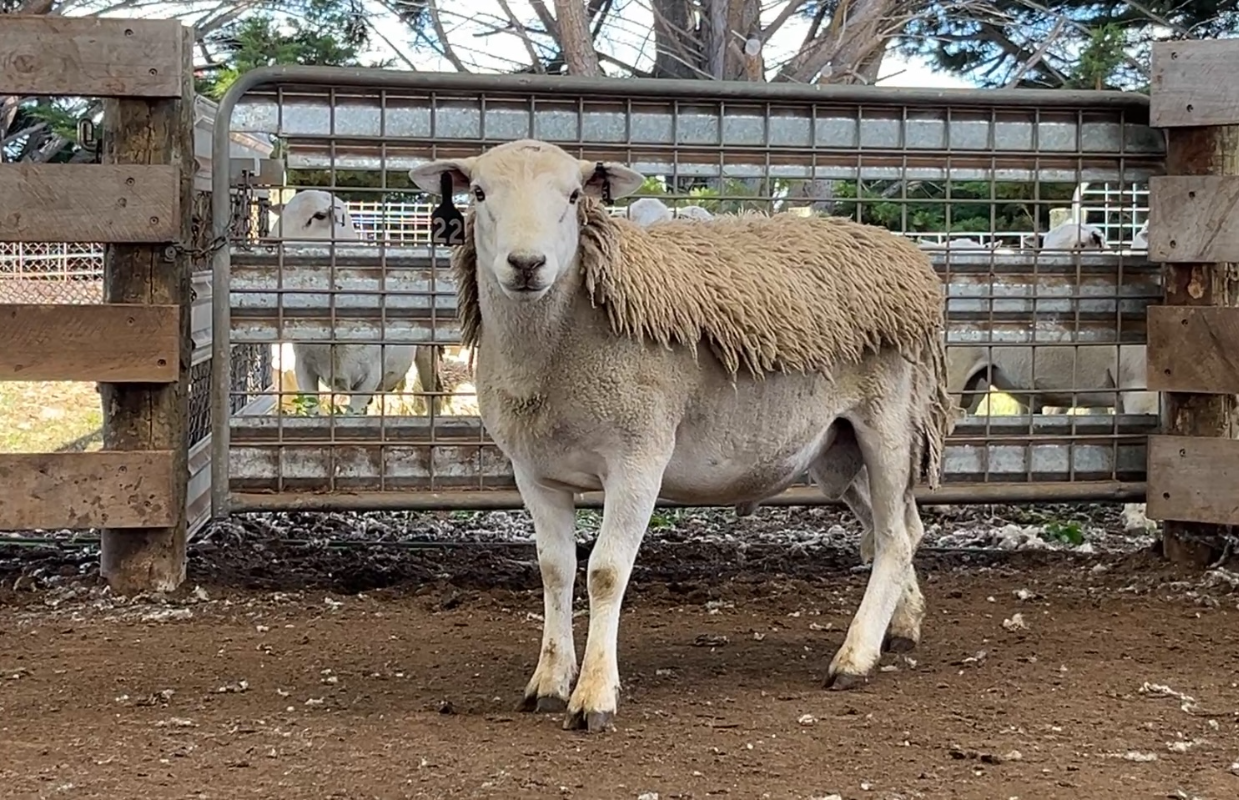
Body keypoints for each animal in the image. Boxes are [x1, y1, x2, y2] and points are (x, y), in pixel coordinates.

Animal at [408, 138, 956, 732]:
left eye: (575, 196)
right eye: (480, 193)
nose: (527, 265)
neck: (557, 350)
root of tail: (903, 253)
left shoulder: (639, 458)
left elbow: (605, 572)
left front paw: (594, 696)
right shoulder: (536, 474)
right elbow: (555, 570)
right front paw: (550, 682)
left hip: (888, 423)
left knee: (895, 538)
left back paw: (854, 659)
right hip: (837, 445)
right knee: (897, 529)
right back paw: (901, 628)